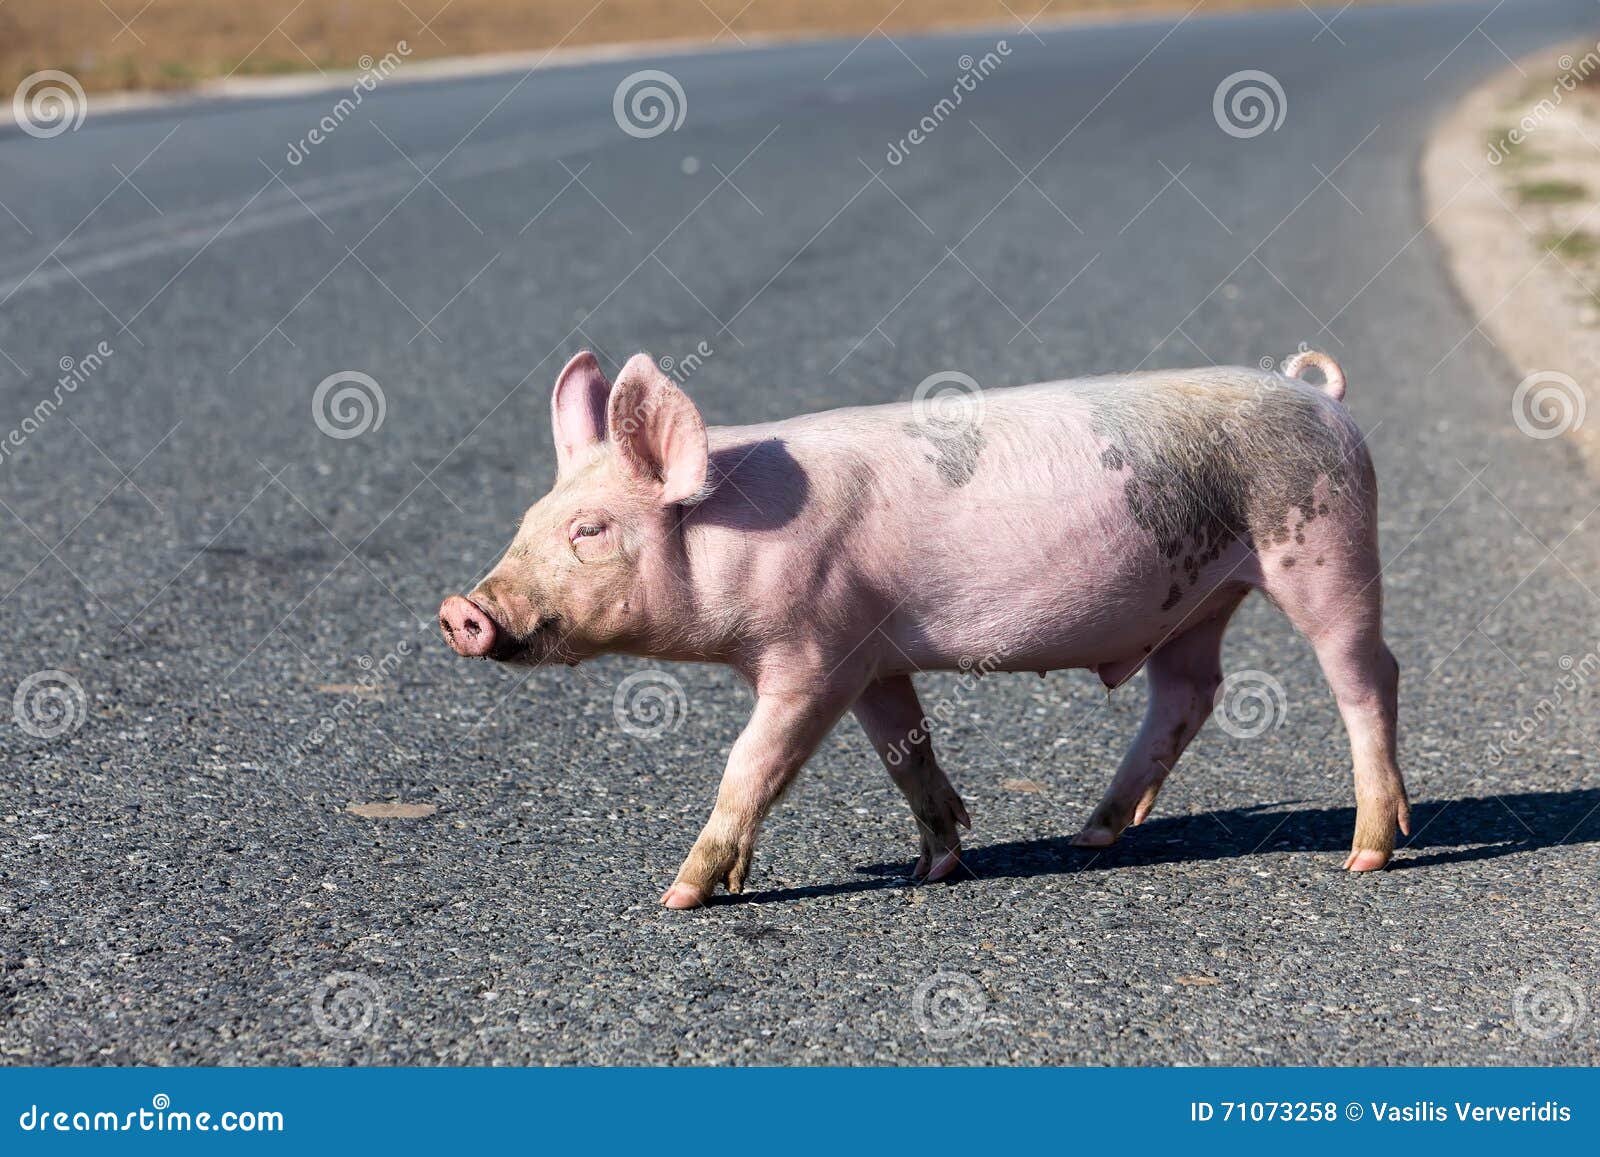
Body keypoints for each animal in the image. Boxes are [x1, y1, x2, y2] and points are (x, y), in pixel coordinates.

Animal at [440, 349, 1410, 908]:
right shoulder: (872, 657)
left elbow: (751, 763)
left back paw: (1366, 856)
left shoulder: (815, 651)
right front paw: (933, 867)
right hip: (1198, 600)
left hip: (1323, 546)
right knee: (1190, 689)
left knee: (1369, 673)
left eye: (590, 530)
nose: (461, 610)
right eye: (530, 517)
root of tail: (1319, 395)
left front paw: (678, 897)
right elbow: (905, 753)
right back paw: (1088, 836)